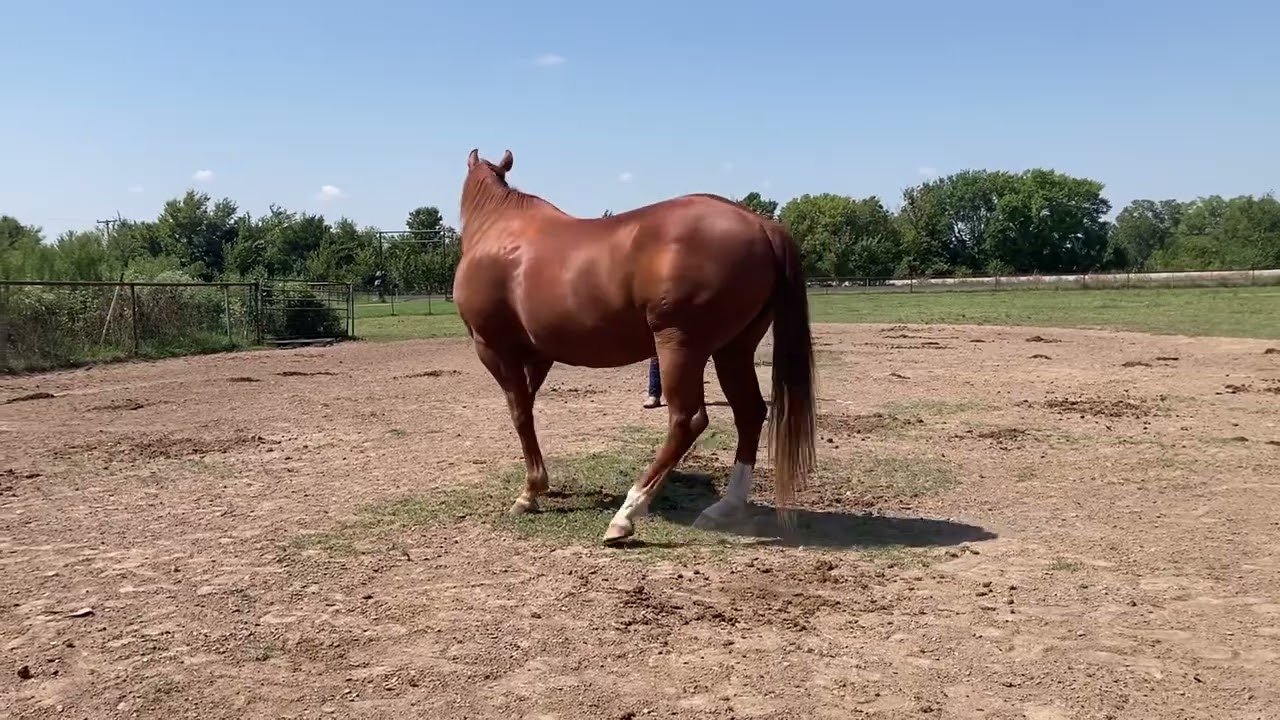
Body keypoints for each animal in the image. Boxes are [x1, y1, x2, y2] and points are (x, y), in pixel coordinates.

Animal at [453, 148, 817, 544]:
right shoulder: (538, 357)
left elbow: (520, 414)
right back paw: (725, 507)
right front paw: (539, 486)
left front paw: (529, 492)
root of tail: (761, 225)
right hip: (732, 351)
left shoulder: (495, 349)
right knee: (749, 413)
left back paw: (627, 513)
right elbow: (528, 409)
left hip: (679, 347)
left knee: (687, 420)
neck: (499, 229)